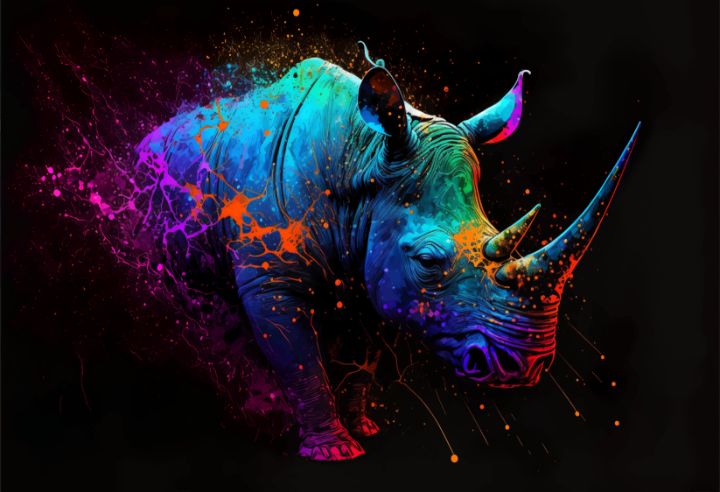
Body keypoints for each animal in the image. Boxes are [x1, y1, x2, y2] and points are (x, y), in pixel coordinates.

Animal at [133, 44, 639, 461]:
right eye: (429, 261)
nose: (527, 365)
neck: (360, 162)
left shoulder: (373, 266)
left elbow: (364, 354)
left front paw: (364, 429)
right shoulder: (270, 276)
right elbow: (298, 357)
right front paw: (333, 452)